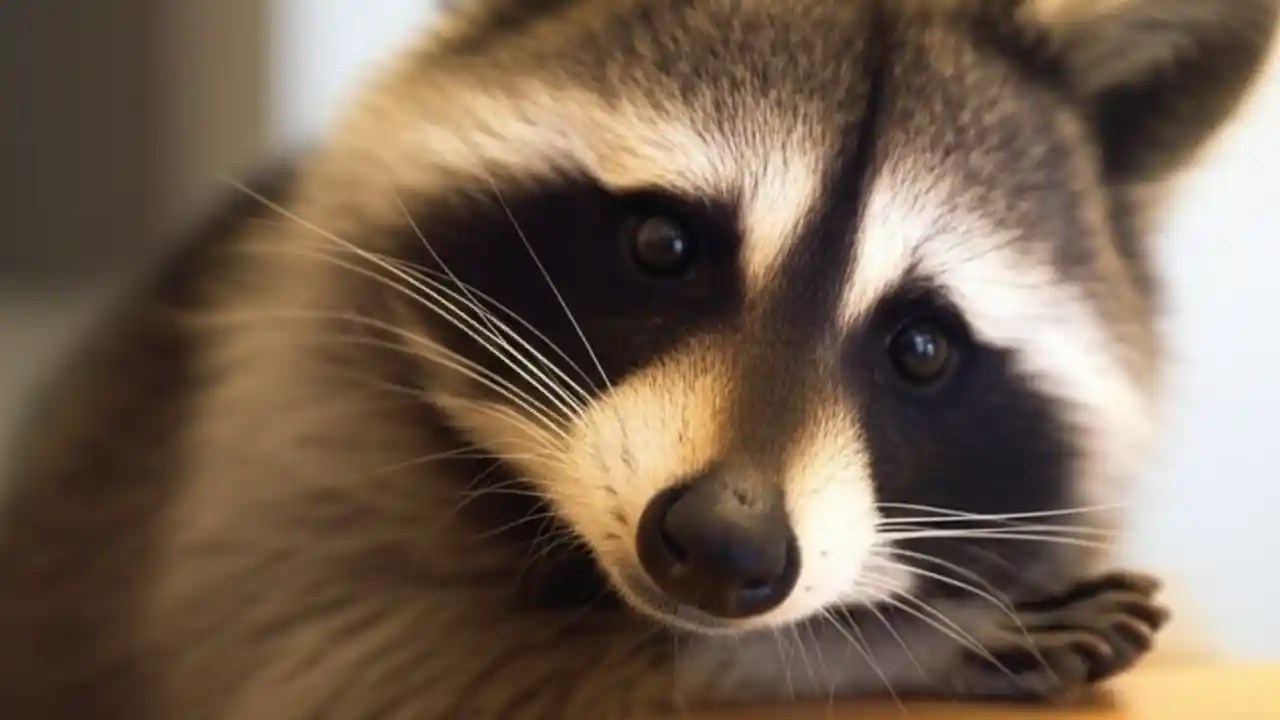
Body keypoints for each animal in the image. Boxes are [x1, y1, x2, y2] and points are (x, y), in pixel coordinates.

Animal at [1, 1, 1275, 718]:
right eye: (663, 245)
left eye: (919, 347)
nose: (723, 548)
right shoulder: (280, 412)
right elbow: (329, 655)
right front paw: (851, 656)